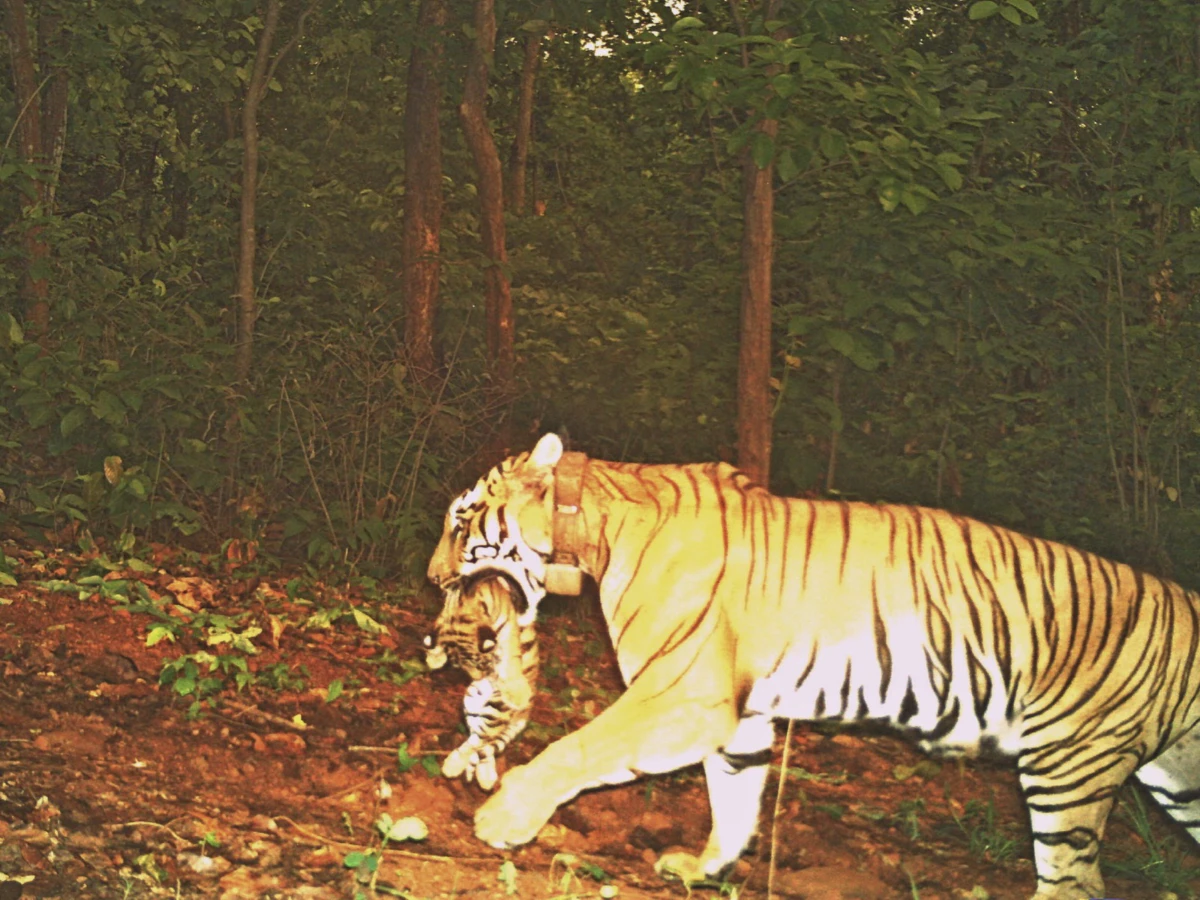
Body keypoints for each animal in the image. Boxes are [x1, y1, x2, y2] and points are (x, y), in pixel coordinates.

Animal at [423, 576, 539, 792]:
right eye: (460, 666)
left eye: (483, 664)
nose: (478, 678)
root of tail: (523, 715)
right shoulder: (443, 617)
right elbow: (436, 633)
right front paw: (435, 658)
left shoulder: (508, 628)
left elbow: (510, 655)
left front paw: (517, 691)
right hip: (472, 701)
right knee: (481, 740)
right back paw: (482, 775)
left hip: (498, 708)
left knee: (482, 739)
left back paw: (454, 767)